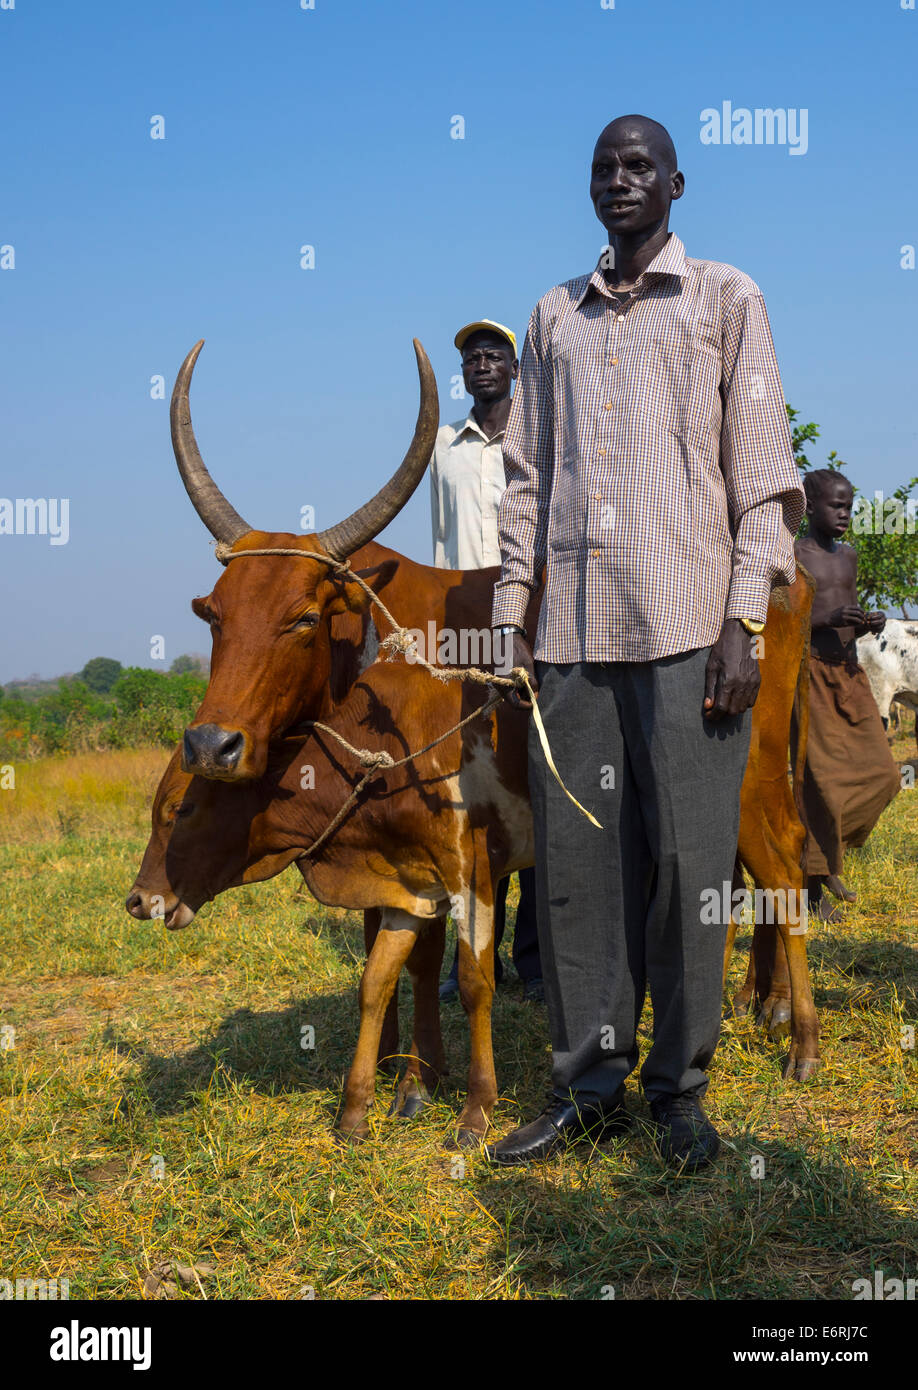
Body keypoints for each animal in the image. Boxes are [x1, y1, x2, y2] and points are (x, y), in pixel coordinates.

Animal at [161, 339, 820, 1091]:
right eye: (215, 615)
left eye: (301, 617)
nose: (212, 745)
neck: (368, 640)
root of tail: (781, 573)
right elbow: (381, 941)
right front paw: (392, 1061)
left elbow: (423, 953)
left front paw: (417, 1081)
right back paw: (754, 1002)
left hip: (747, 775)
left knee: (783, 867)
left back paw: (798, 1034)